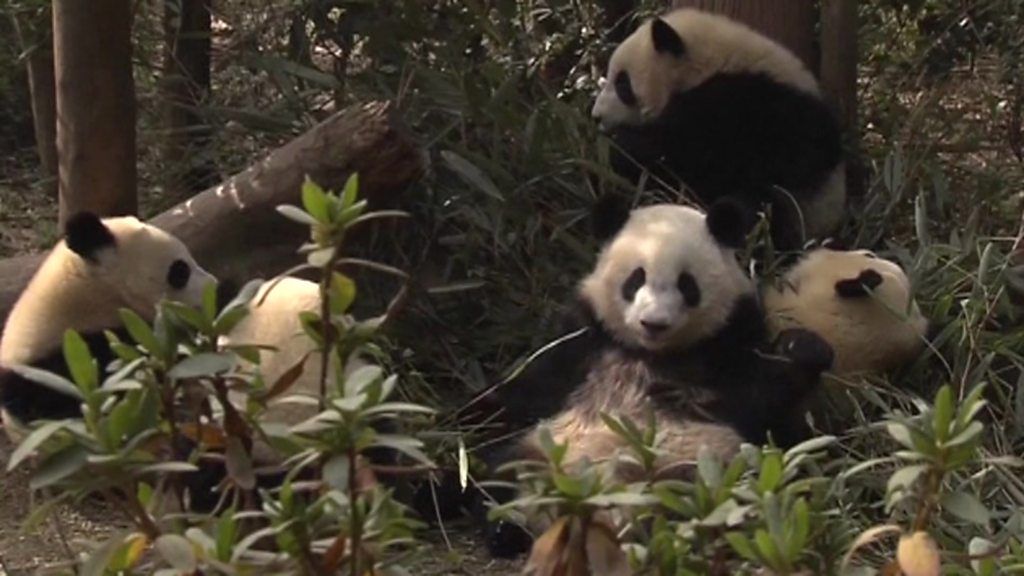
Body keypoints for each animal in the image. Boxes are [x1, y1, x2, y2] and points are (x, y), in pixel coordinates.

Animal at [483, 198, 835, 557]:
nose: (653, 323)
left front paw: (803, 347)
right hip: (544, 453)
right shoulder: (585, 342)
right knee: (497, 475)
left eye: (686, 284)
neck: (653, 353)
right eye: (636, 279)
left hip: (709, 467)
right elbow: (529, 391)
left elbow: (763, 397)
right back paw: (504, 529)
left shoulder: (728, 341)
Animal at [591, 8, 846, 249]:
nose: (596, 116)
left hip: (803, 211)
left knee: (757, 209)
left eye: (623, 84)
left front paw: (619, 147)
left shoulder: (755, 104)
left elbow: (691, 153)